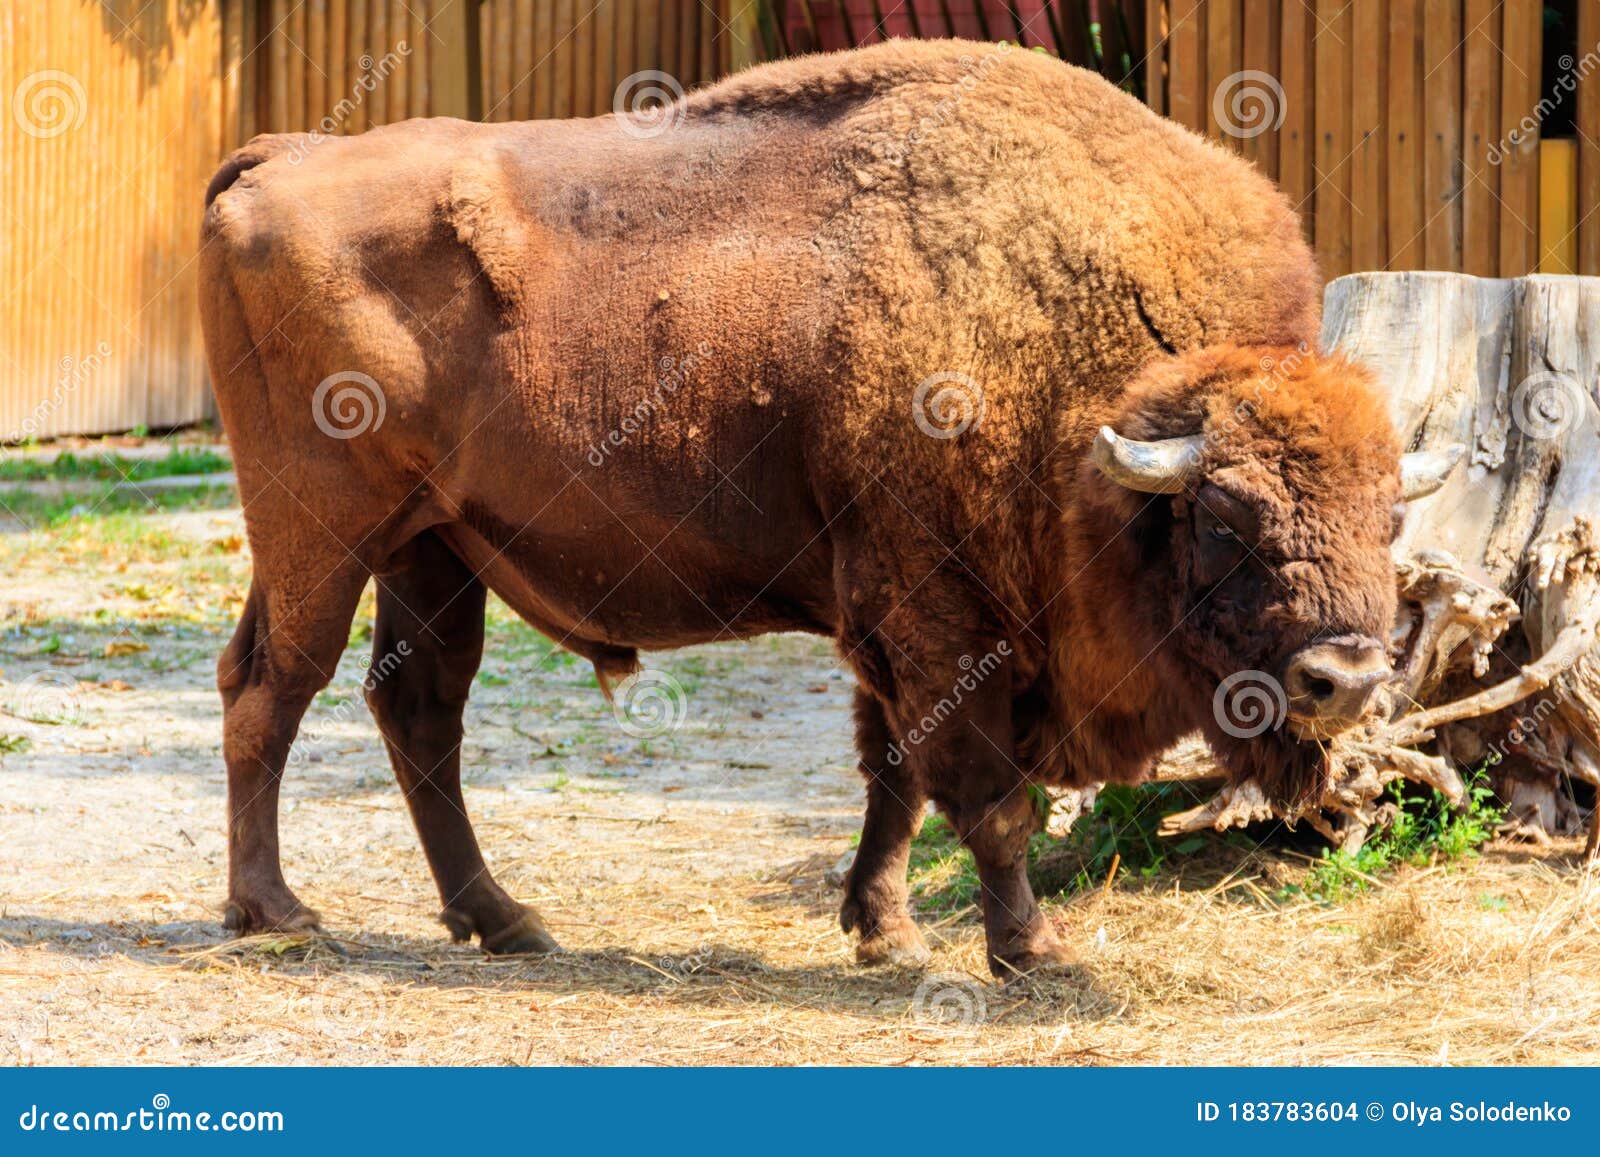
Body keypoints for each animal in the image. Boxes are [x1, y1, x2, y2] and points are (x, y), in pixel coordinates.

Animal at [198, 39, 1456, 977]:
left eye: (1387, 517)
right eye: (1224, 519)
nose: (1344, 680)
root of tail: (277, 158)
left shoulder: (890, 624)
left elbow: (891, 775)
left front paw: (885, 930)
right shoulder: (938, 615)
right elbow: (983, 796)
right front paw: (1029, 948)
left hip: (430, 547)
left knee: (417, 711)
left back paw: (506, 920)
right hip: (320, 531)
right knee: (273, 686)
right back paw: (276, 912)